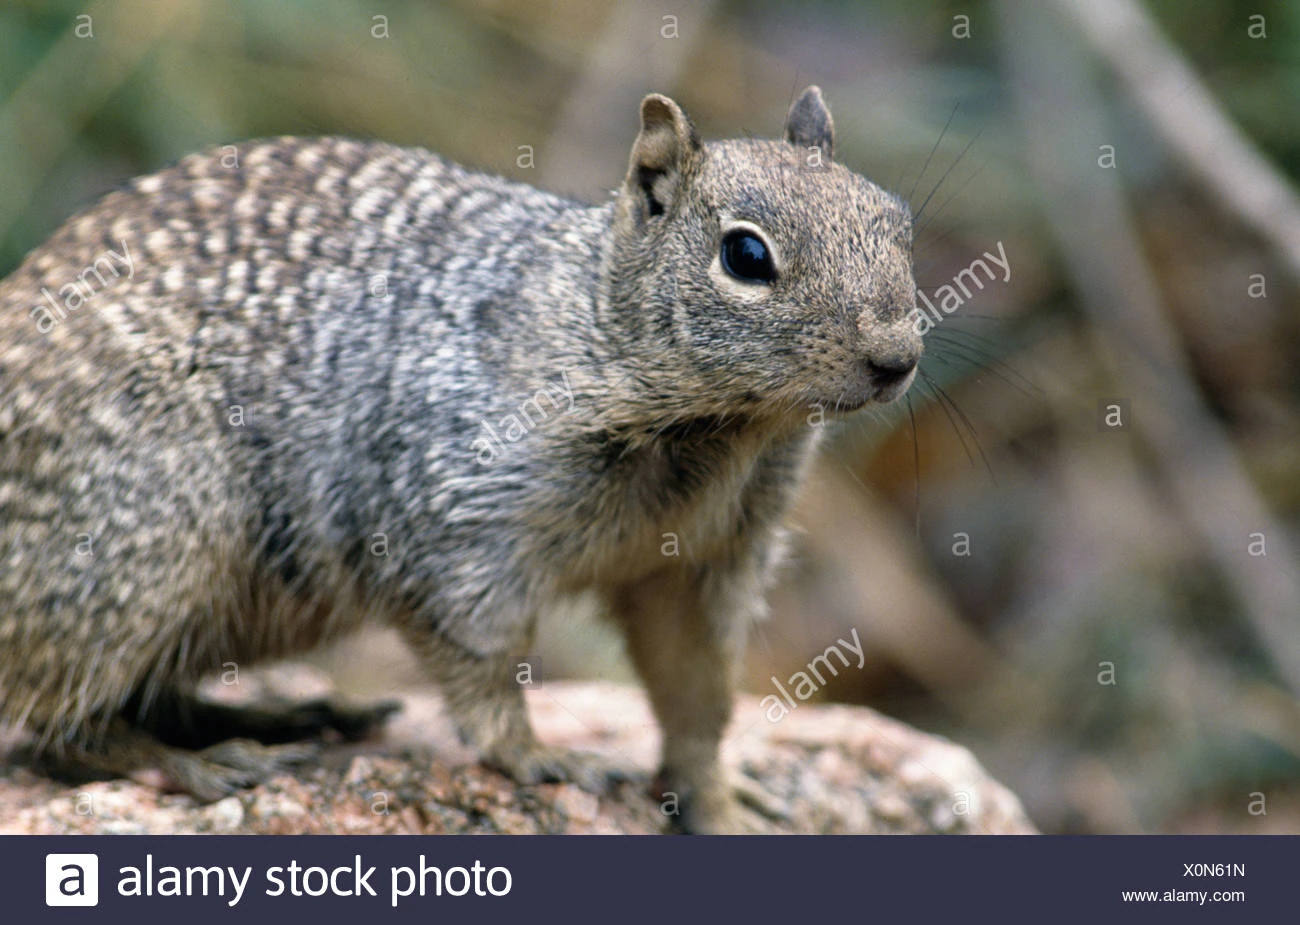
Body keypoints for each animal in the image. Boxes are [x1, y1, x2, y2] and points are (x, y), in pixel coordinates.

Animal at [0, 87, 921, 833]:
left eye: (896, 220)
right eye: (746, 256)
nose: (898, 357)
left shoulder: (701, 567)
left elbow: (697, 695)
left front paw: (721, 799)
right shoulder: (458, 522)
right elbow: (479, 660)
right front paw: (539, 756)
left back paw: (283, 717)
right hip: (141, 555)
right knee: (57, 728)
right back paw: (203, 762)